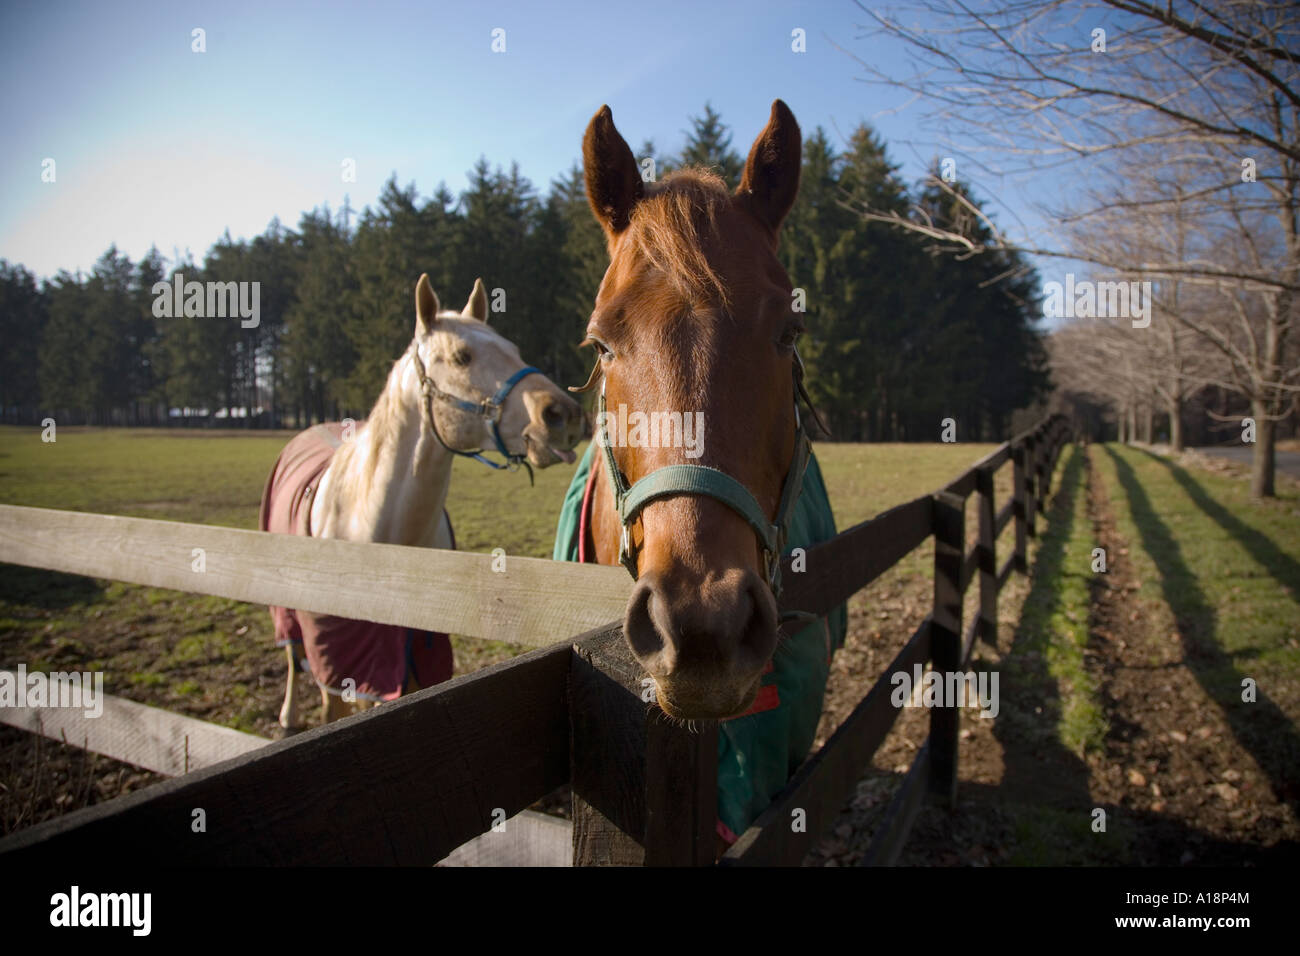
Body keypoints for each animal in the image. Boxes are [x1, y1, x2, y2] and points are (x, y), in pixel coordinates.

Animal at [261, 273, 582, 731]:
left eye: (514, 349)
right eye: (462, 356)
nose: (563, 414)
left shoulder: (413, 656)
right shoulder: (345, 656)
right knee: (291, 652)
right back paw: (288, 716)